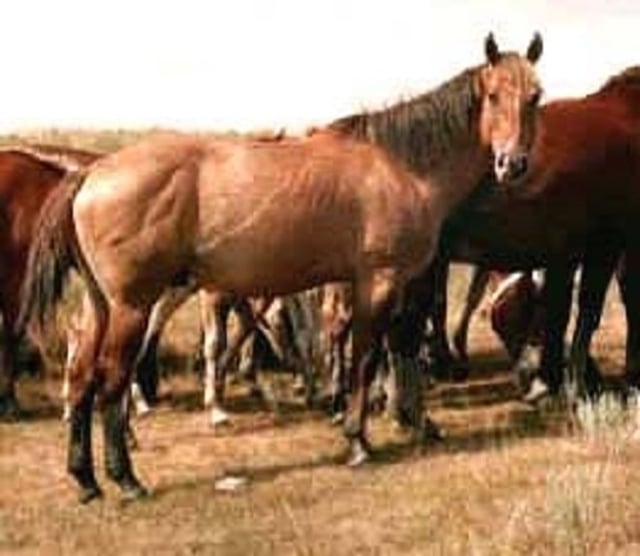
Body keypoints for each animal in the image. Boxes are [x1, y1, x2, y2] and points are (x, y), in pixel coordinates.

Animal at [18, 33, 543, 503]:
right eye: (493, 95)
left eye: (535, 96)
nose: (511, 164)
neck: (400, 166)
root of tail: (91, 172)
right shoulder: (380, 281)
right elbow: (368, 356)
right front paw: (359, 439)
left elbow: (387, 351)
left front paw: (405, 421)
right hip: (132, 305)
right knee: (110, 380)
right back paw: (126, 478)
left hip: (100, 305)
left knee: (81, 376)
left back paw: (86, 480)